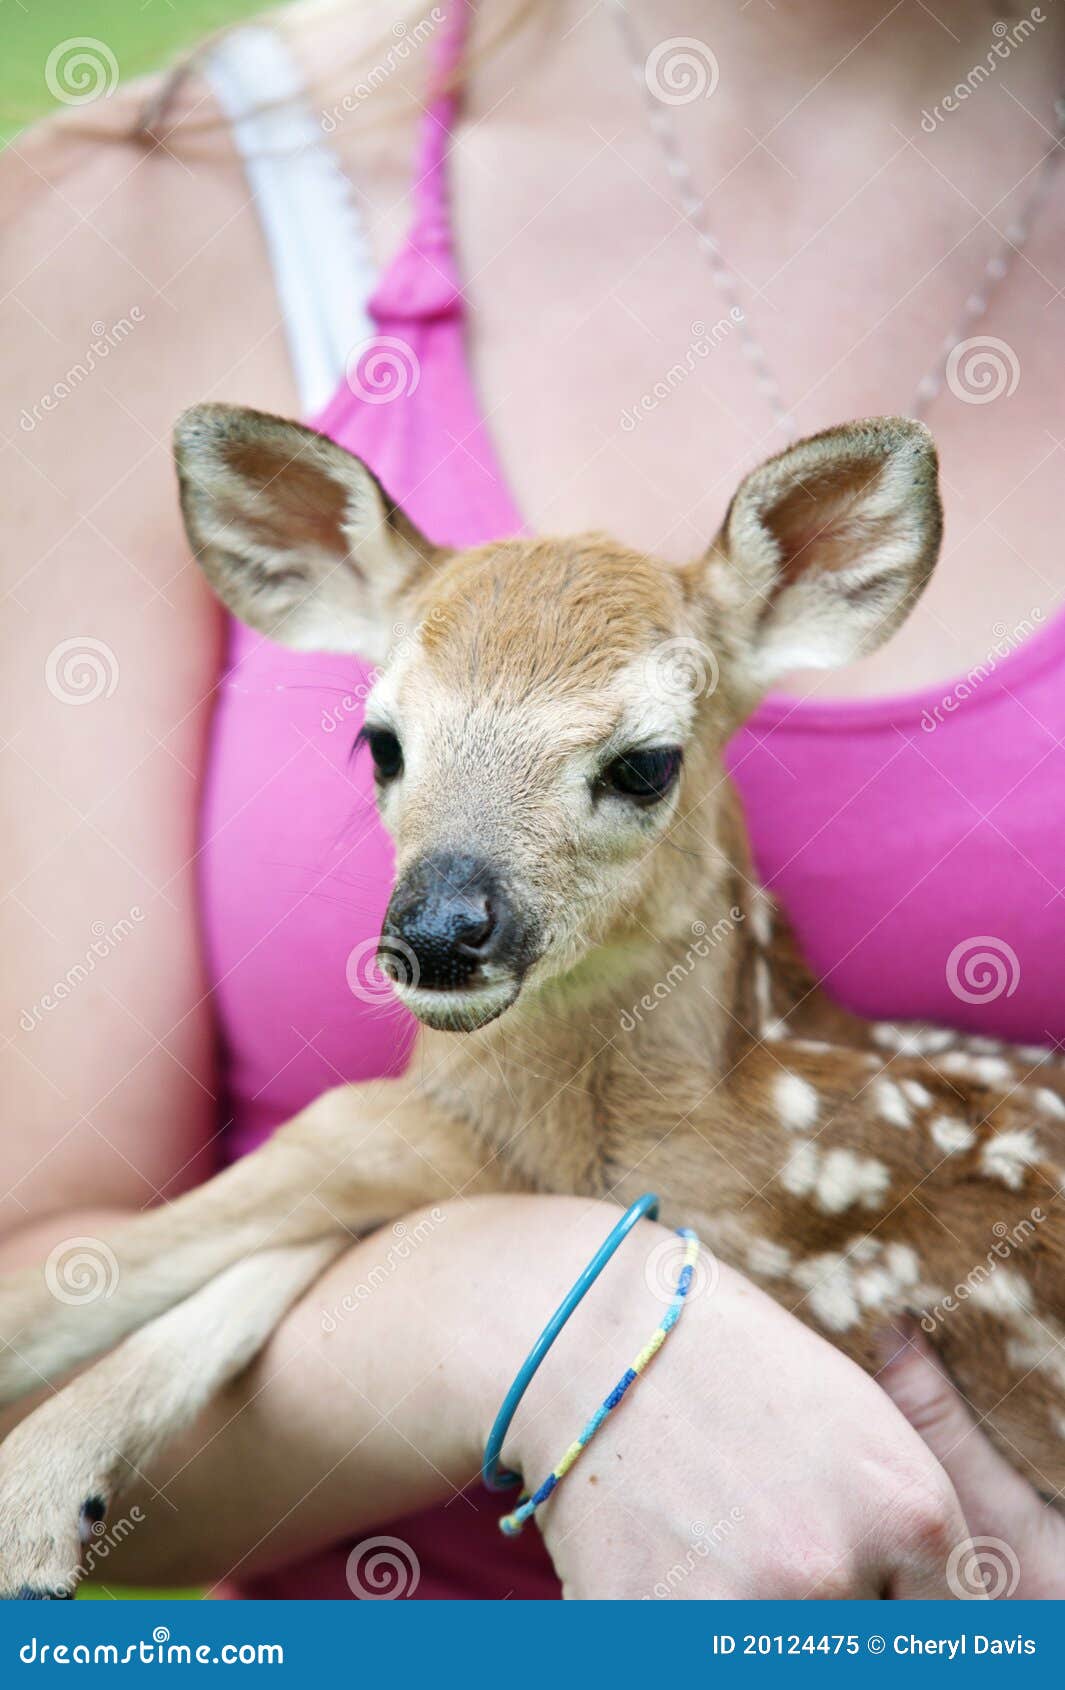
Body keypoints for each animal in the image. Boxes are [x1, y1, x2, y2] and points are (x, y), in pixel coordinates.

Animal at [1, 407, 1063, 1598]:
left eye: (647, 763)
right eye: (380, 741)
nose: (437, 932)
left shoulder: (845, 1271)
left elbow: (331, 1159)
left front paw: (32, 1491)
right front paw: (41, 1493)